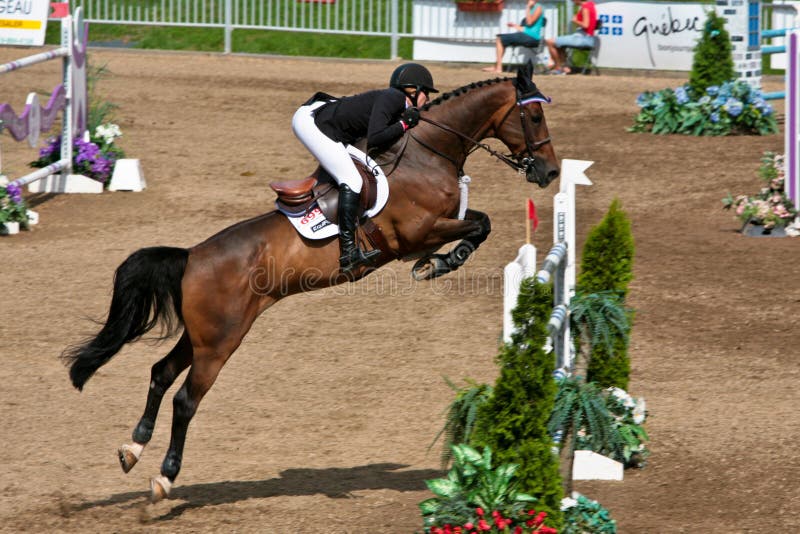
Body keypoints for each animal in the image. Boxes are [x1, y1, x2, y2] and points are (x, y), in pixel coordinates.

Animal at [62, 63, 560, 503]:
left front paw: (437, 265)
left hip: (202, 335)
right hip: (220, 341)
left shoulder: (437, 225)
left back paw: (132, 448)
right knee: (186, 399)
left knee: (161, 373)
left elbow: (480, 222)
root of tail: (191, 258)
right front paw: (438, 265)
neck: (427, 151)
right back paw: (165, 477)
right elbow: (479, 226)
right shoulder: (418, 232)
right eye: (534, 116)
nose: (550, 172)